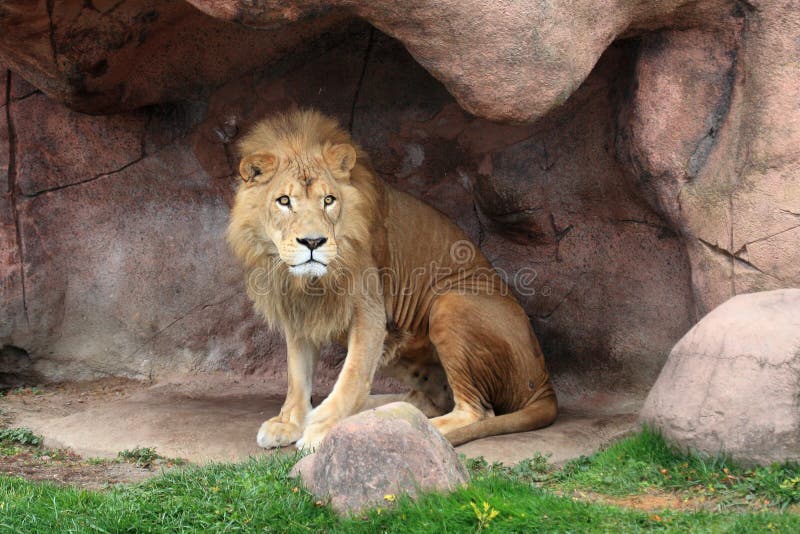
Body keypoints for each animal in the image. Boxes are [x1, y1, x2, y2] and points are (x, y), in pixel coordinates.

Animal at [227, 109, 557, 450]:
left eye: (329, 200)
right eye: (283, 201)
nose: (313, 242)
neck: (310, 283)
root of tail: (545, 382)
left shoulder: (369, 309)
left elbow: (353, 374)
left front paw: (323, 429)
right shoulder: (298, 310)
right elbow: (297, 374)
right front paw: (290, 422)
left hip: (449, 301)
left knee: (476, 411)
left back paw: (416, 429)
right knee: (431, 400)